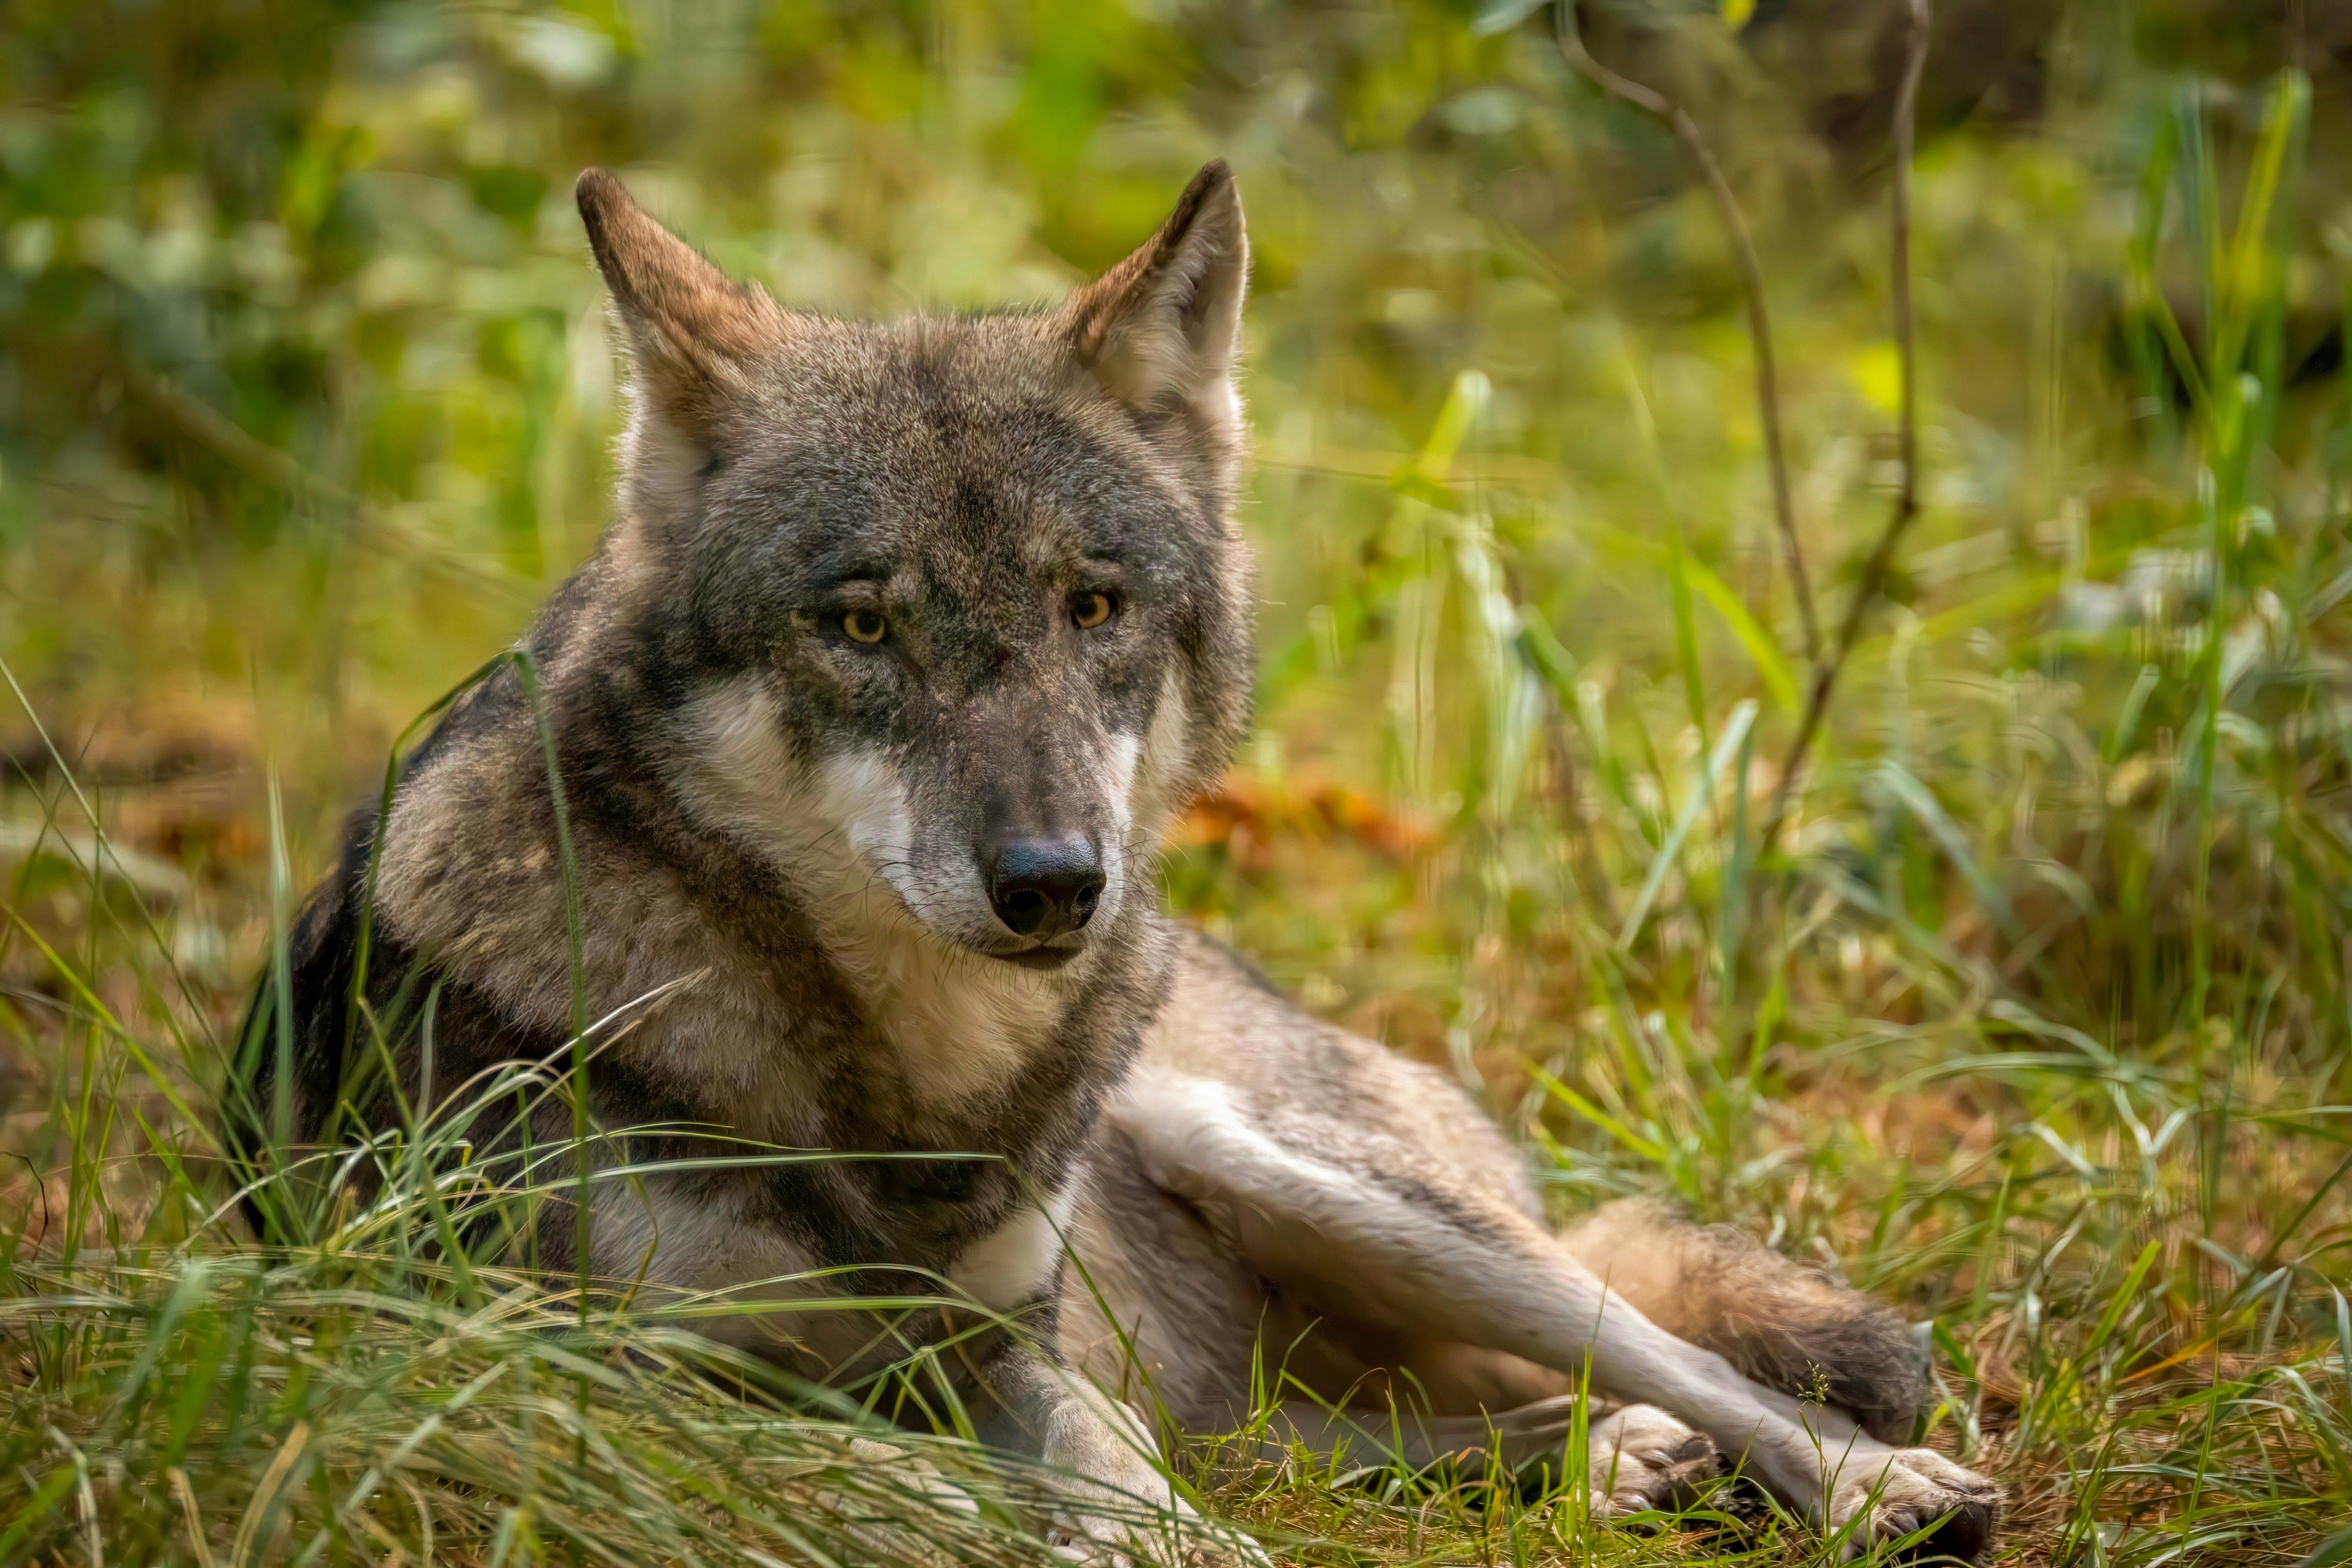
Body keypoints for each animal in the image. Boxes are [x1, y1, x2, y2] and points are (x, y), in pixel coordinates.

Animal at [240, 161, 1998, 1562]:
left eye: (1093, 605)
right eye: (861, 623)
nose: (1053, 884)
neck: (907, 1086)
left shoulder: (1009, 1345)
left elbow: (1118, 1486)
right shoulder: (570, 1372)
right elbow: (915, 1475)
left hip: (1297, 1166)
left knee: (1656, 1352)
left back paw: (1852, 1481)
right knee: (1313, 1438)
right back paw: (1607, 1465)